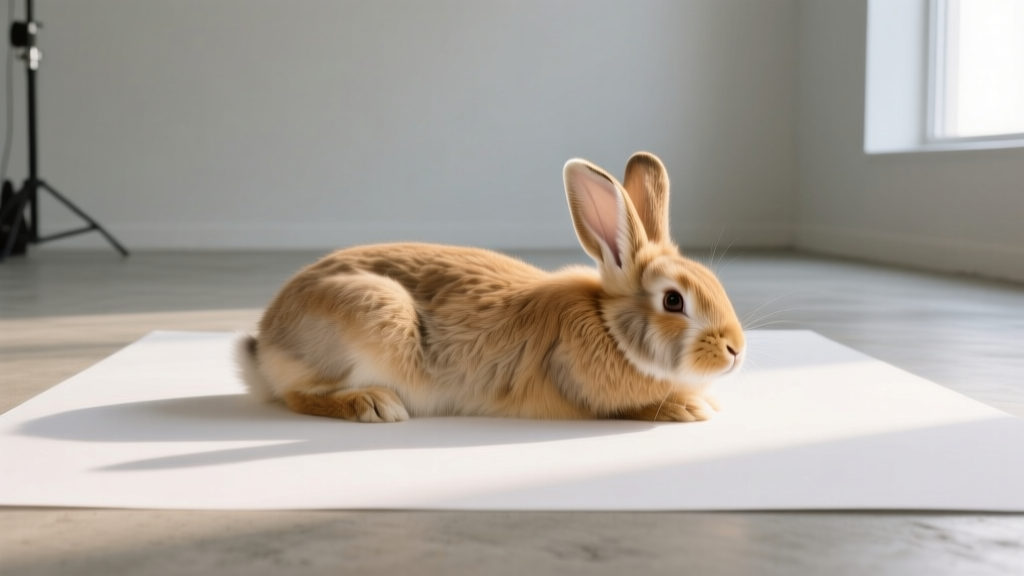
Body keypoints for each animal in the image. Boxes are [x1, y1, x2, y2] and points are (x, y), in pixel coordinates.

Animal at [236, 152, 745, 423]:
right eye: (673, 300)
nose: (736, 350)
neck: (609, 328)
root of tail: (267, 344)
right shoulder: (581, 391)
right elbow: (634, 407)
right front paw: (691, 407)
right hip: (369, 315)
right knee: (298, 394)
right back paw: (373, 404)